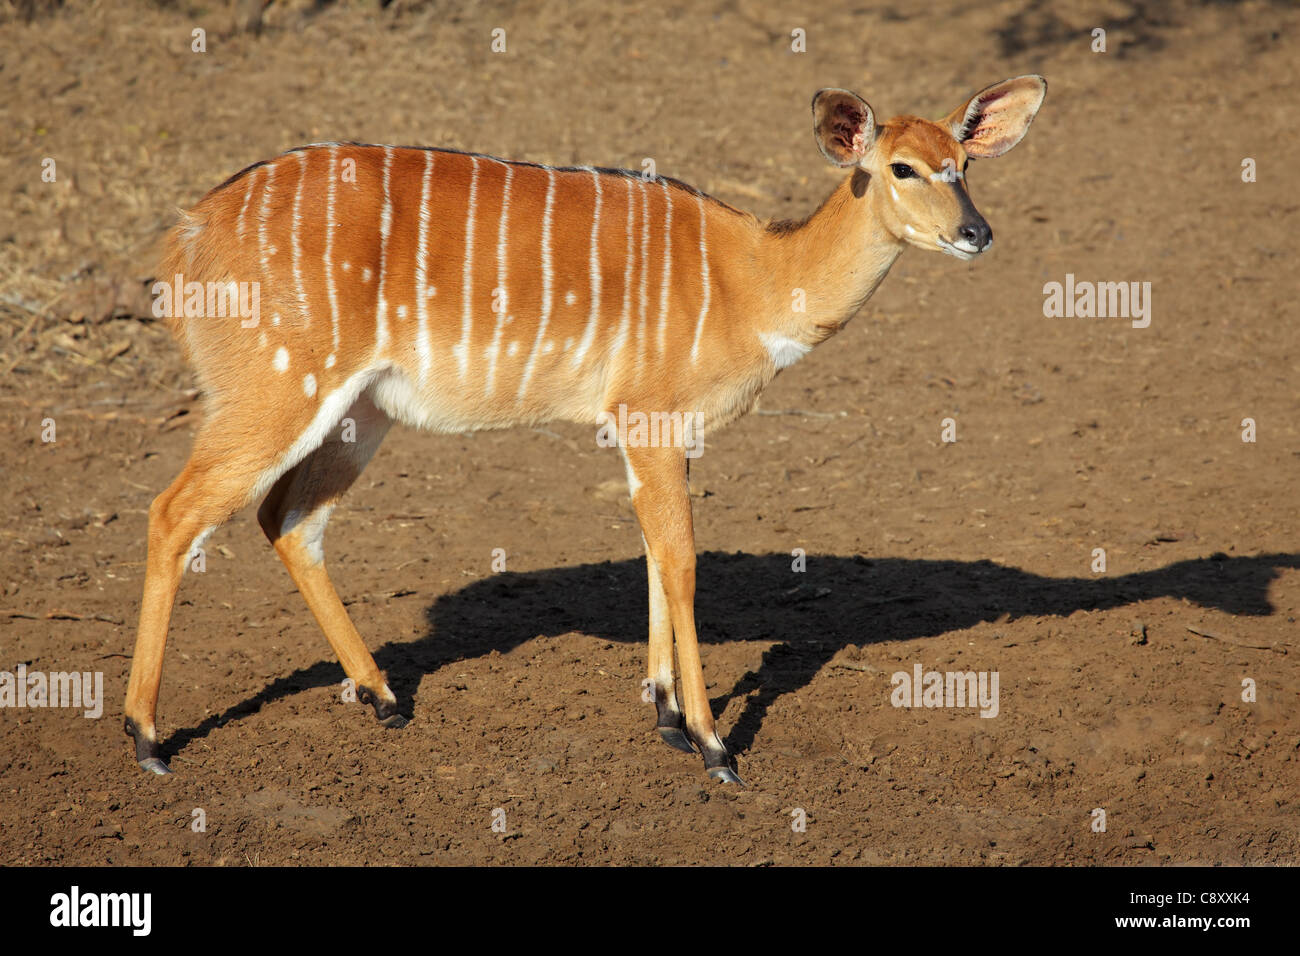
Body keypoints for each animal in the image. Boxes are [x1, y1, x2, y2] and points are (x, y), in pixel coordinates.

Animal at [126, 76, 1046, 781]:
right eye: (901, 167)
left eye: (965, 164)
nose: (977, 232)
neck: (752, 279)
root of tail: (183, 240)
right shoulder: (651, 415)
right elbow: (681, 561)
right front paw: (713, 746)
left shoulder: (648, 433)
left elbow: (651, 553)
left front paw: (666, 717)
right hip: (276, 390)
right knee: (176, 511)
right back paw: (146, 738)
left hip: (361, 410)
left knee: (287, 518)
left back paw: (385, 698)